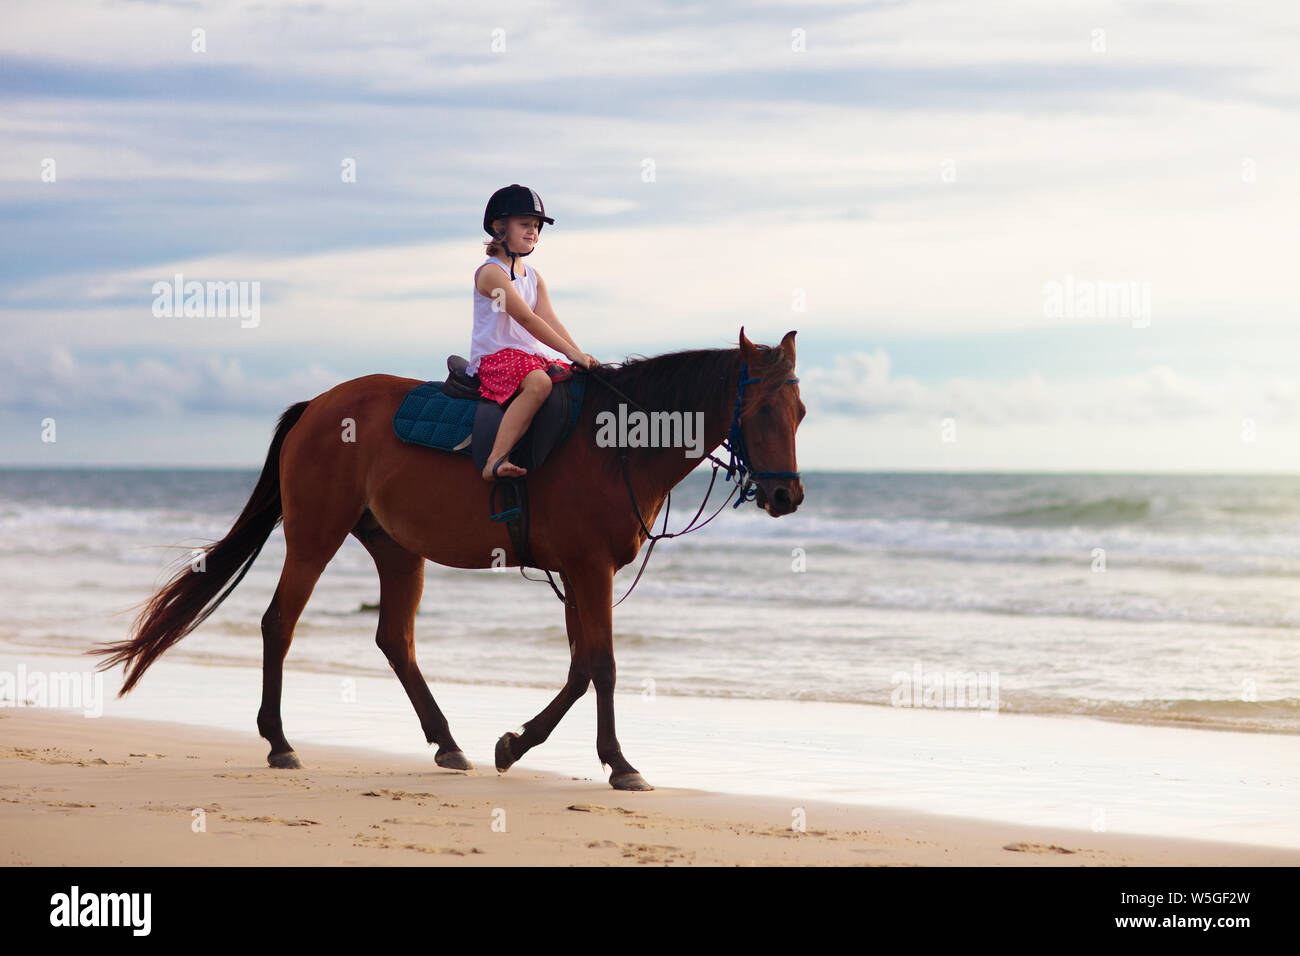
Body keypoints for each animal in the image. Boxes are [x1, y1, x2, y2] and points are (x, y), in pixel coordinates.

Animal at [91, 327, 805, 790]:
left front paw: (515, 745)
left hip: (397, 549)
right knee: (280, 625)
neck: (616, 443)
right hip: (316, 536)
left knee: (395, 641)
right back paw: (280, 743)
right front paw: (619, 764)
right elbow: (601, 665)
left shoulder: (577, 574)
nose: (787, 496)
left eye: (798, 411)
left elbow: (580, 668)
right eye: (761, 409)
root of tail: (317, 406)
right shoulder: (588, 568)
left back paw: (447, 742)